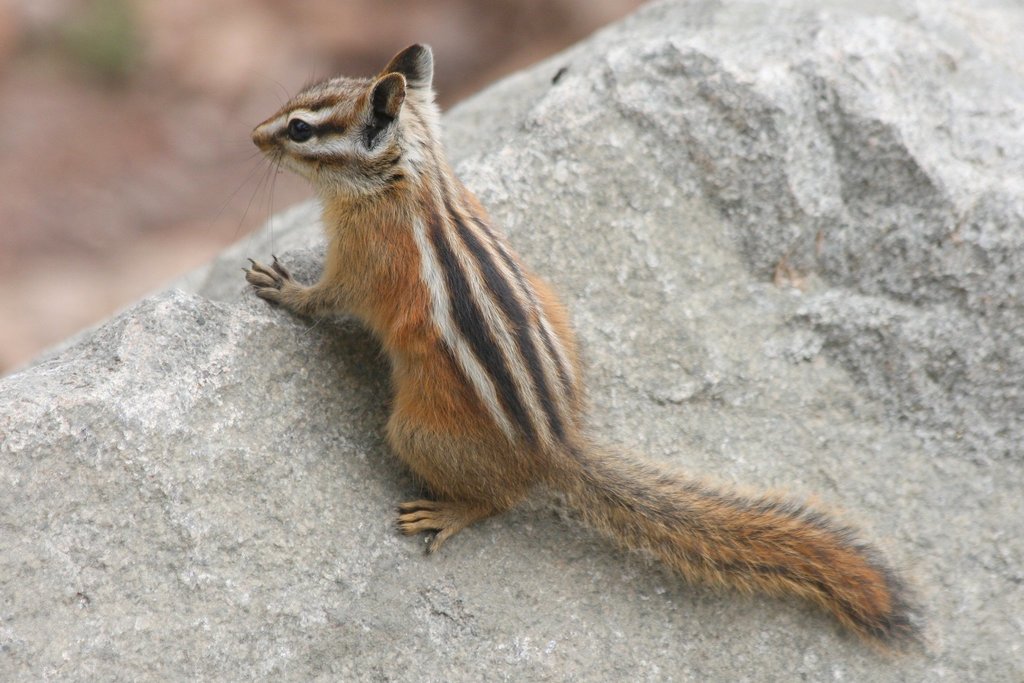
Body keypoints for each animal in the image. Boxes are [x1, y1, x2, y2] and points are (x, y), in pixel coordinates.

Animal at [244, 44, 918, 645]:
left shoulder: (363, 262)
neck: (412, 177)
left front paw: (284, 288)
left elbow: (326, 299)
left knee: (498, 499)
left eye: (301, 129)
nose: (253, 136)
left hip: (415, 432)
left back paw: (449, 512)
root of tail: (557, 443)